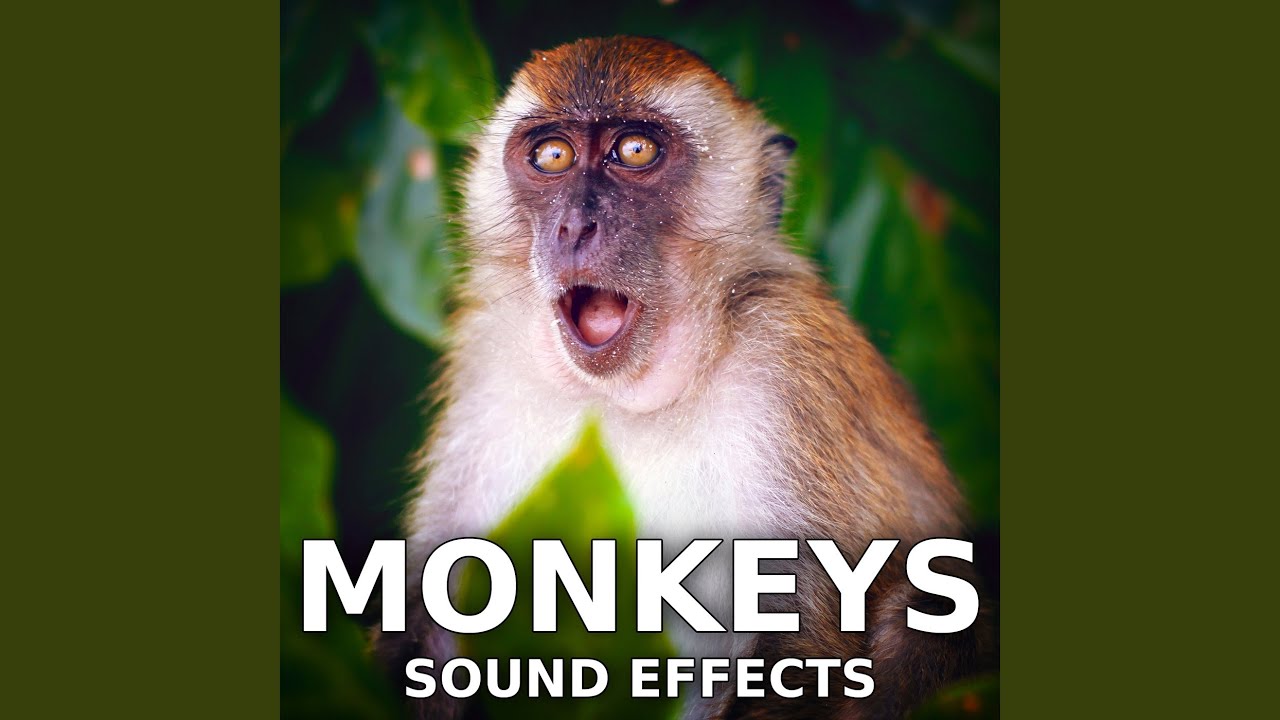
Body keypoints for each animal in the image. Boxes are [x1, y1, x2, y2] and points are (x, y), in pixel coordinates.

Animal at [375, 36, 993, 720]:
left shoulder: (784, 359)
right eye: (553, 155)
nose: (574, 227)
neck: (625, 398)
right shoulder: (488, 359)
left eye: (635, 151)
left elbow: (801, 646)